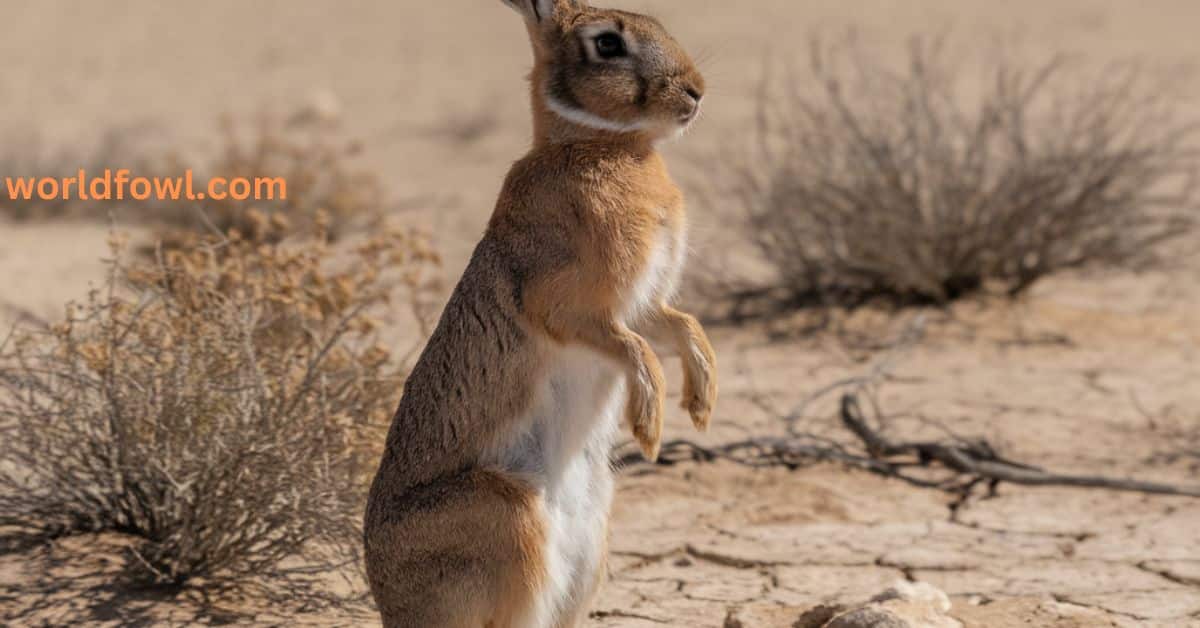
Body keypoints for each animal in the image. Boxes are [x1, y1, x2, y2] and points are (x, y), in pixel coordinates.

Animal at [363, 0, 715, 626]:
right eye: (607, 44)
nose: (696, 91)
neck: (603, 144)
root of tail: (395, 608)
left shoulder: (643, 304)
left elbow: (681, 328)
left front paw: (701, 404)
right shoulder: (571, 307)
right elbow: (636, 350)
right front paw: (649, 428)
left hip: (592, 534)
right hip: (506, 516)